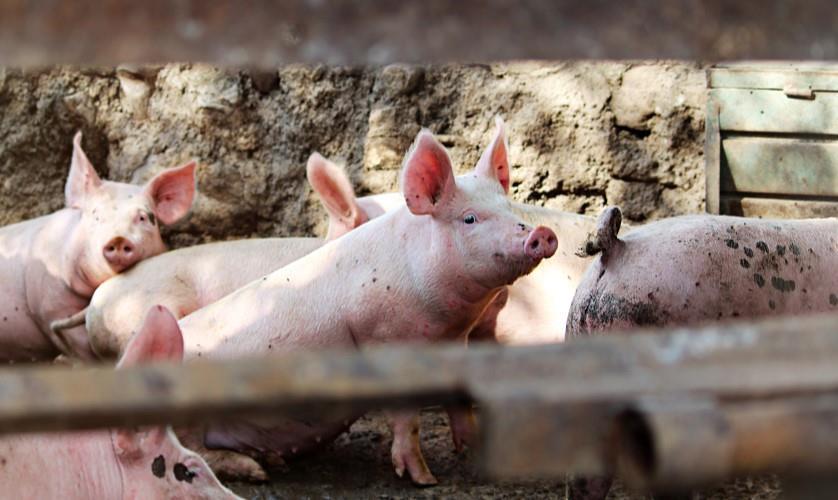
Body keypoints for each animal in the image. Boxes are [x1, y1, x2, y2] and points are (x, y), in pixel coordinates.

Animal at [175, 127, 558, 484]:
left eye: (509, 209)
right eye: (470, 219)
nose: (541, 233)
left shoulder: (454, 342)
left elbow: (460, 397)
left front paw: (474, 452)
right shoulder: (386, 339)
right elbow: (407, 418)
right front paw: (424, 480)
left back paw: (271, 460)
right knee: (193, 451)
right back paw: (256, 471)